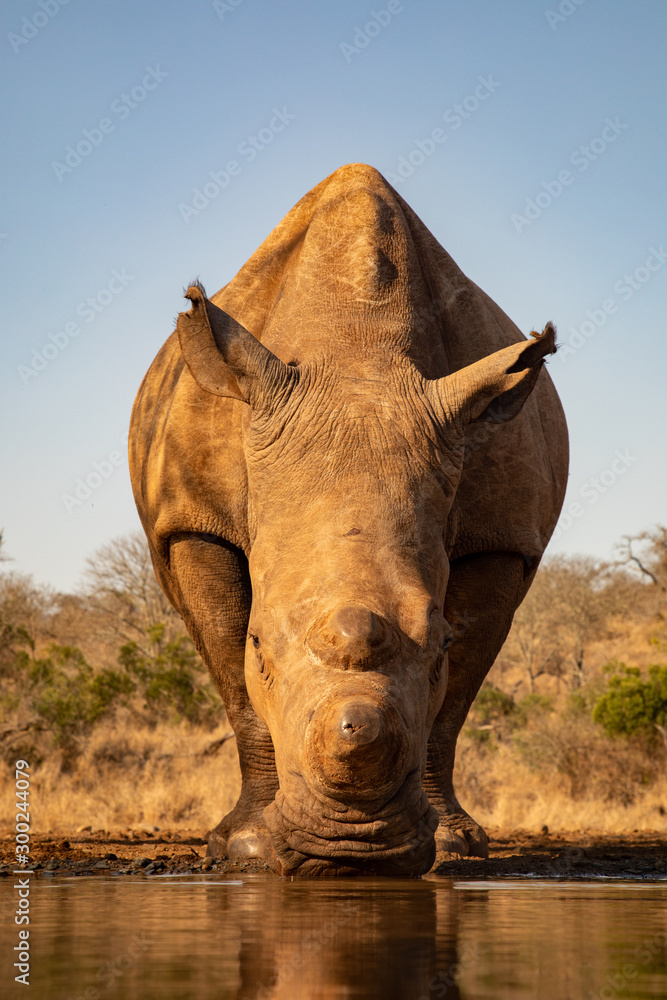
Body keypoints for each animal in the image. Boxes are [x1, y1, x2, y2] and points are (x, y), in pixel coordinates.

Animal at [129, 163, 568, 876]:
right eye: (260, 644)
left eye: (441, 642)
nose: (352, 848)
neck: (356, 353)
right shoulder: (192, 519)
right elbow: (231, 673)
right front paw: (247, 847)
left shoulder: (502, 535)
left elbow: (456, 696)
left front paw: (453, 846)